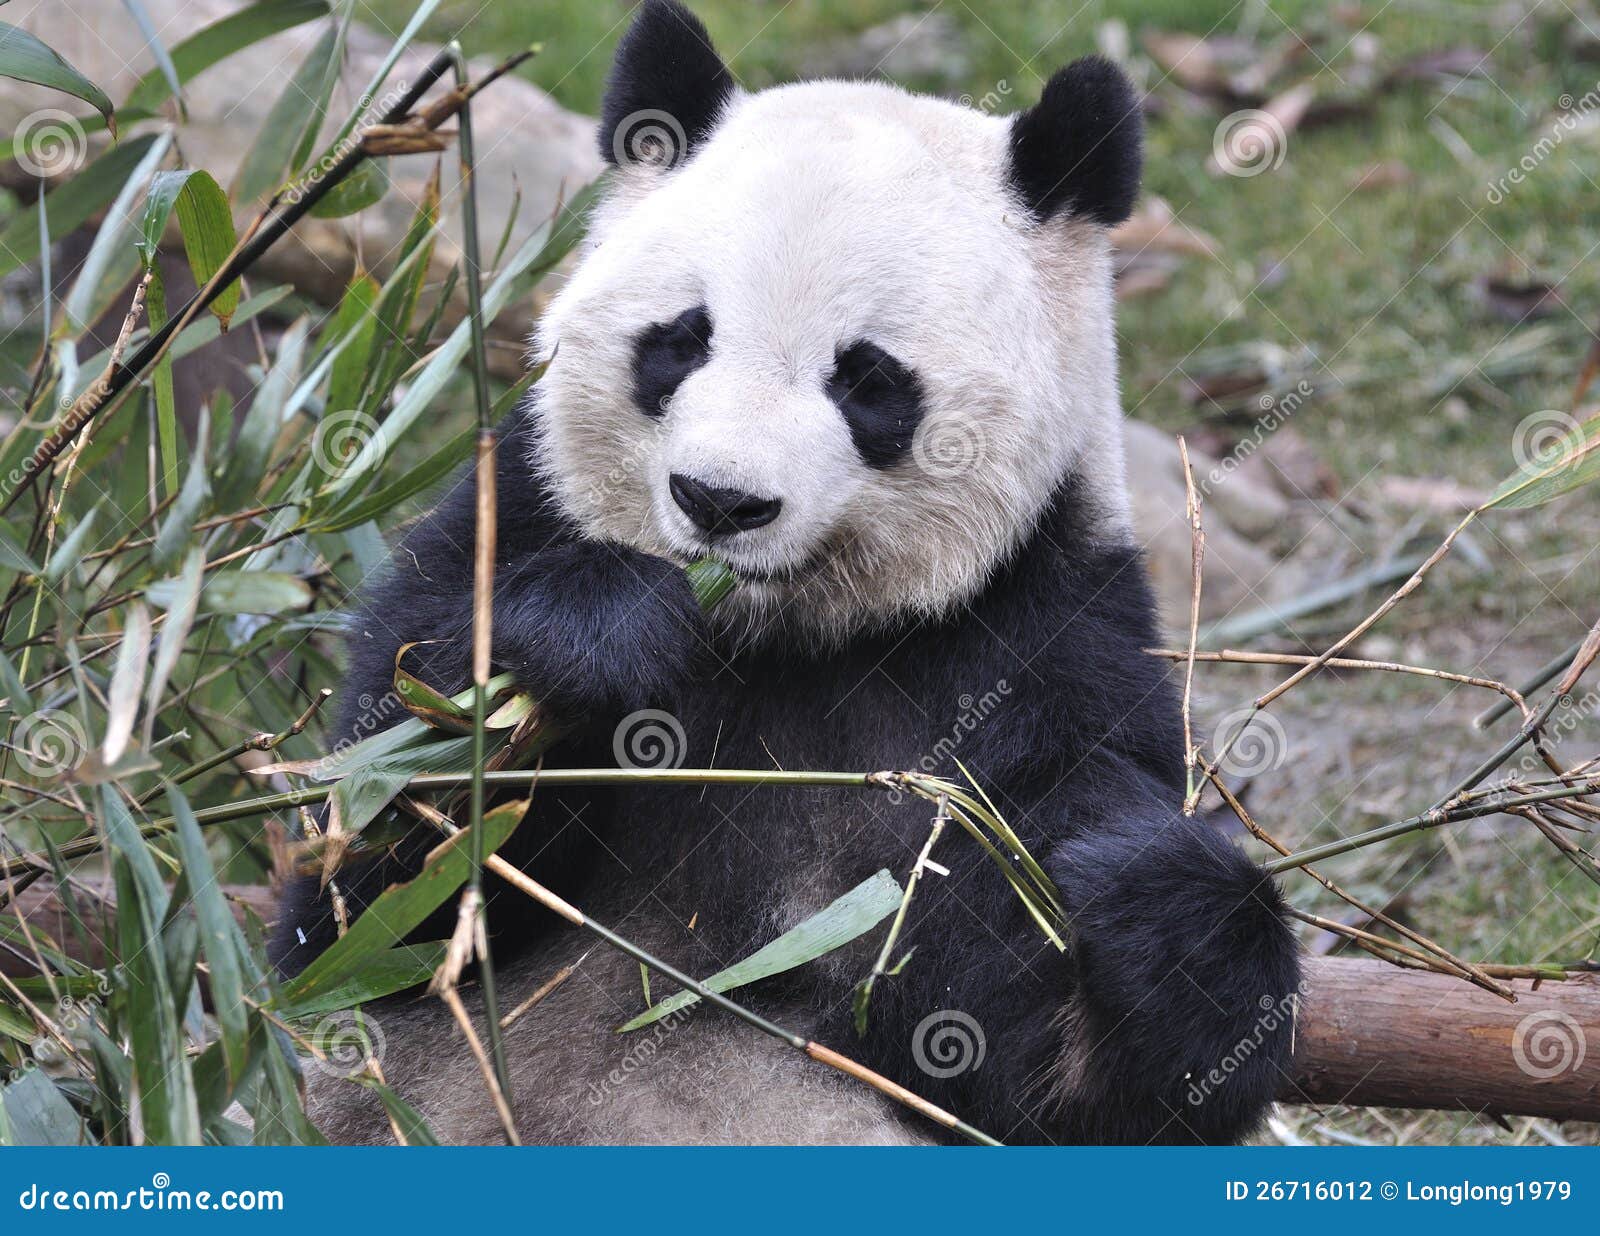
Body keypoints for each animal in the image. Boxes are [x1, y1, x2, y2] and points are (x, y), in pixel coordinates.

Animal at [271, 0, 1300, 1145]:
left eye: (867, 381)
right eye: (681, 340)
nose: (721, 502)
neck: (772, 640)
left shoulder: (1039, 651)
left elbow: (1039, 1070)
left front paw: (1162, 909)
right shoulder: (505, 517)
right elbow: (370, 899)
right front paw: (587, 641)